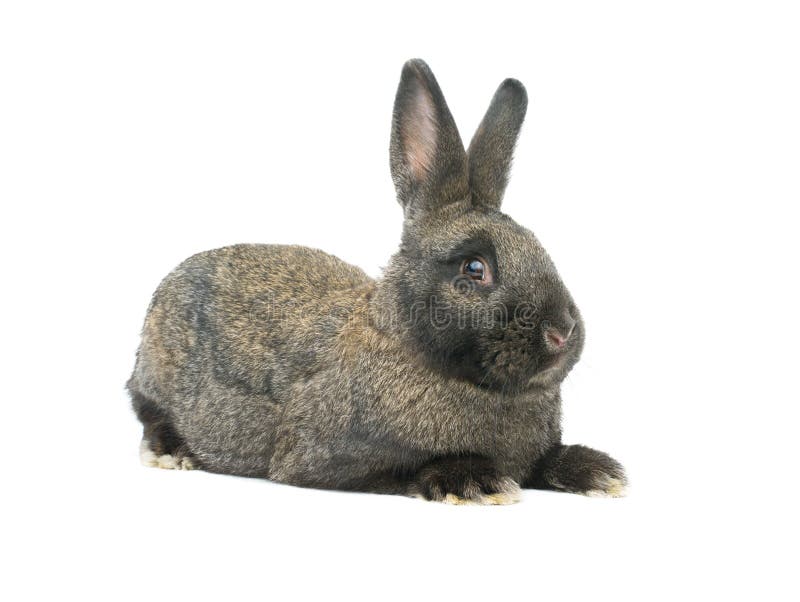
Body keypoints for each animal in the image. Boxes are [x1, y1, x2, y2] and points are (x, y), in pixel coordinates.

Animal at [127, 58, 627, 504]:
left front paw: (600, 473)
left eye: (540, 246)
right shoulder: (325, 456)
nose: (561, 332)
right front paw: (476, 482)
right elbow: (407, 468)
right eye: (474, 268)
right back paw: (173, 452)